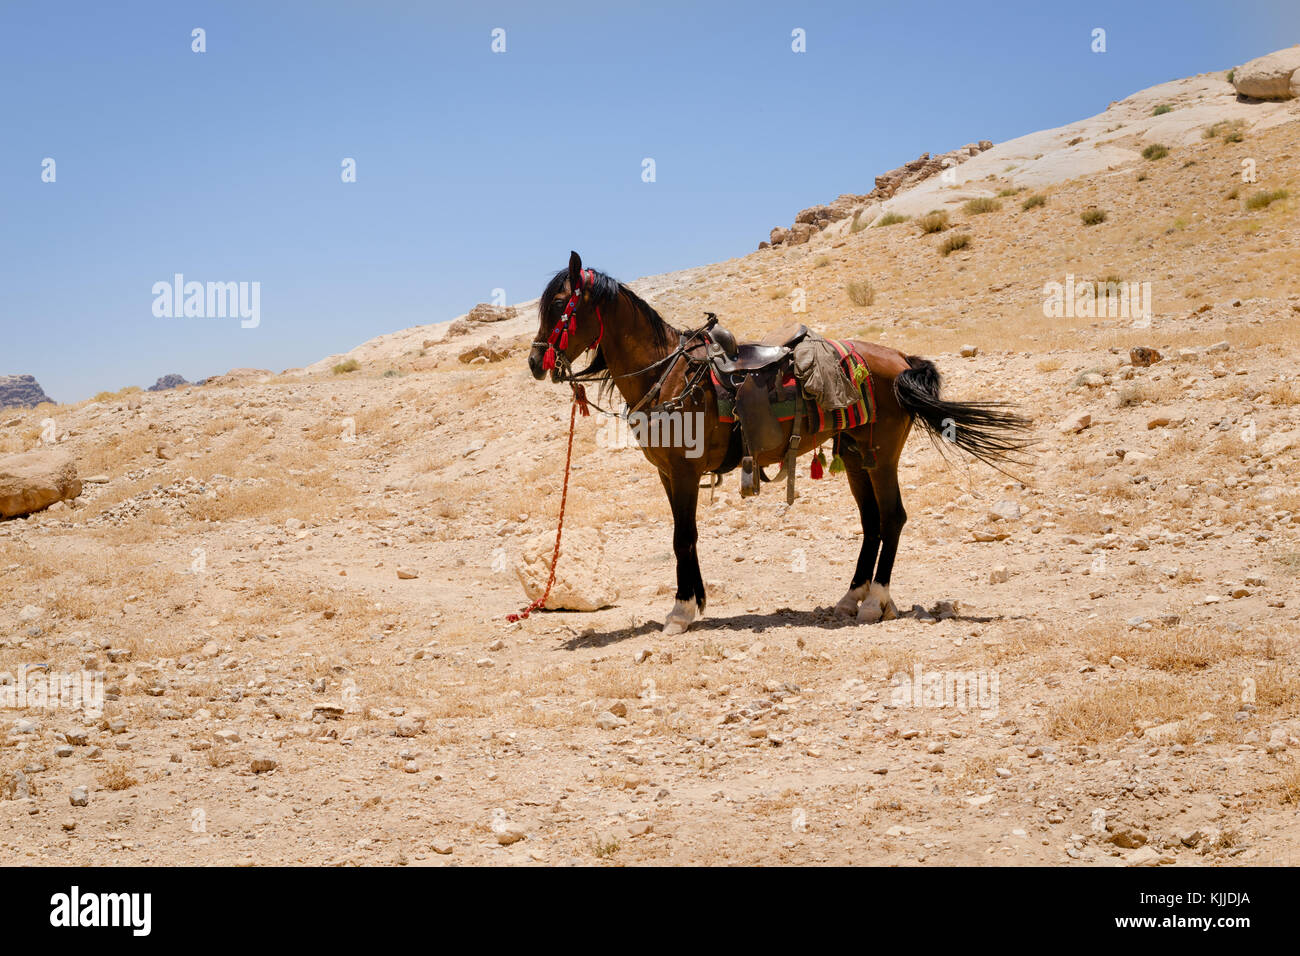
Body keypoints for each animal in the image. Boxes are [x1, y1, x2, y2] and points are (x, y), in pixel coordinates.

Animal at [527, 251, 1032, 635]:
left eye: (560, 304)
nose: (535, 362)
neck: (667, 374)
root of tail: (901, 358)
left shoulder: (686, 472)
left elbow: (682, 537)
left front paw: (680, 612)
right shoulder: (668, 475)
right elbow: (683, 538)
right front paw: (696, 601)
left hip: (881, 456)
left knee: (892, 518)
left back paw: (875, 603)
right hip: (855, 457)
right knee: (871, 522)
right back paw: (851, 598)